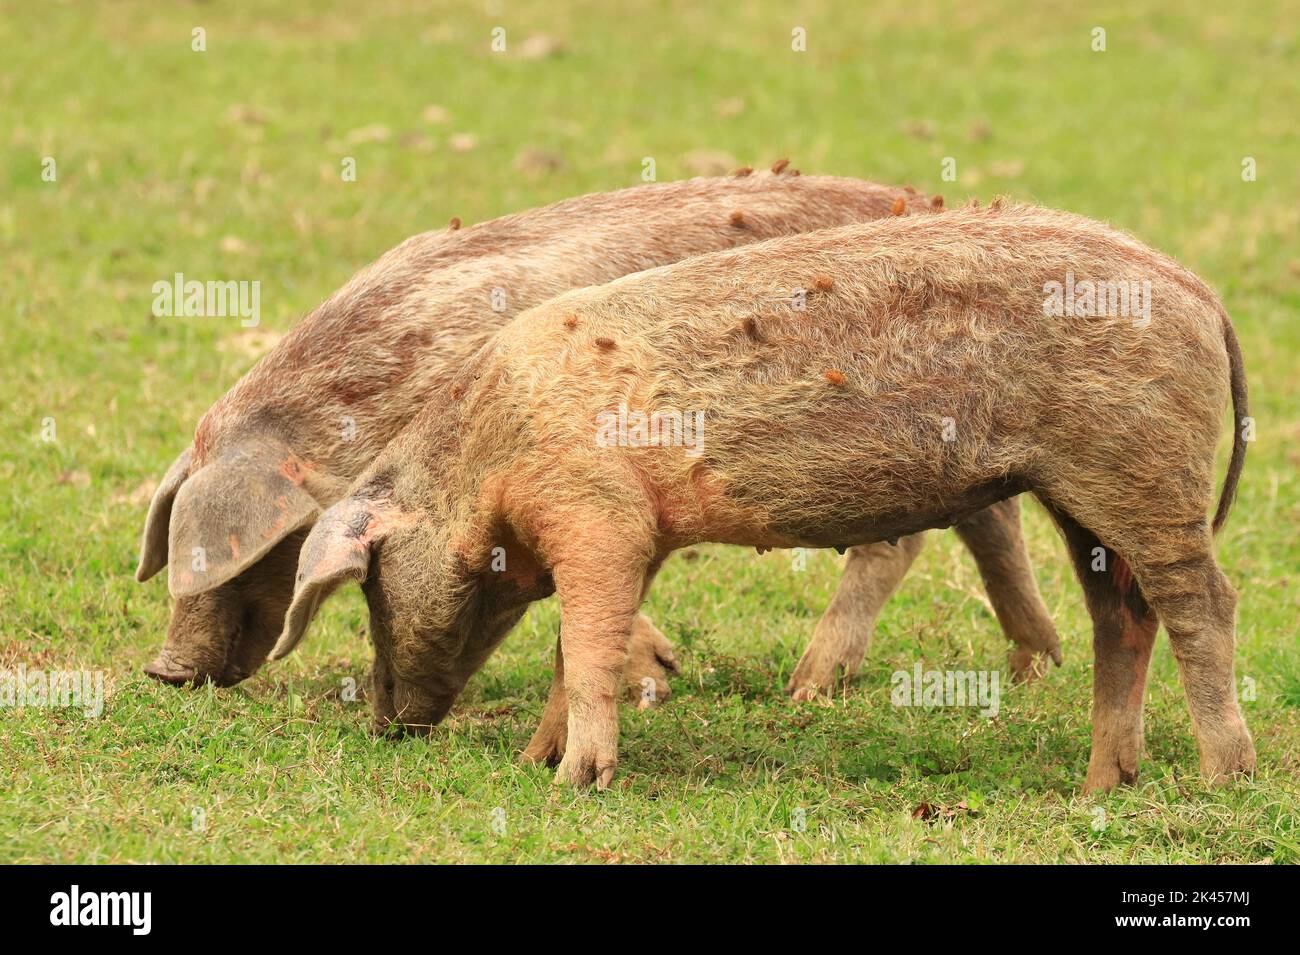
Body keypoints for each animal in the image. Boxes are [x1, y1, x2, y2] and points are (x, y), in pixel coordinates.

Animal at [136, 169, 1058, 707]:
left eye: (252, 556)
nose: (164, 669)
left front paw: (656, 674)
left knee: (900, 545)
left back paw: (806, 688)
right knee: (994, 525)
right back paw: (1034, 667)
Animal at [273, 200, 1253, 794]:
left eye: (367, 586)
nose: (386, 723)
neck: (488, 452)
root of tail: (1201, 292)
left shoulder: (596, 515)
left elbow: (584, 651)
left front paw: (570, 783)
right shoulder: (636, 532)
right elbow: (579, 650)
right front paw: (532, 758)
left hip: (1140, 468)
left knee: (1201, 600)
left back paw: (1222, 777)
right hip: (1082, 493)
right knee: (1121, 614)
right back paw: (1100, 786)